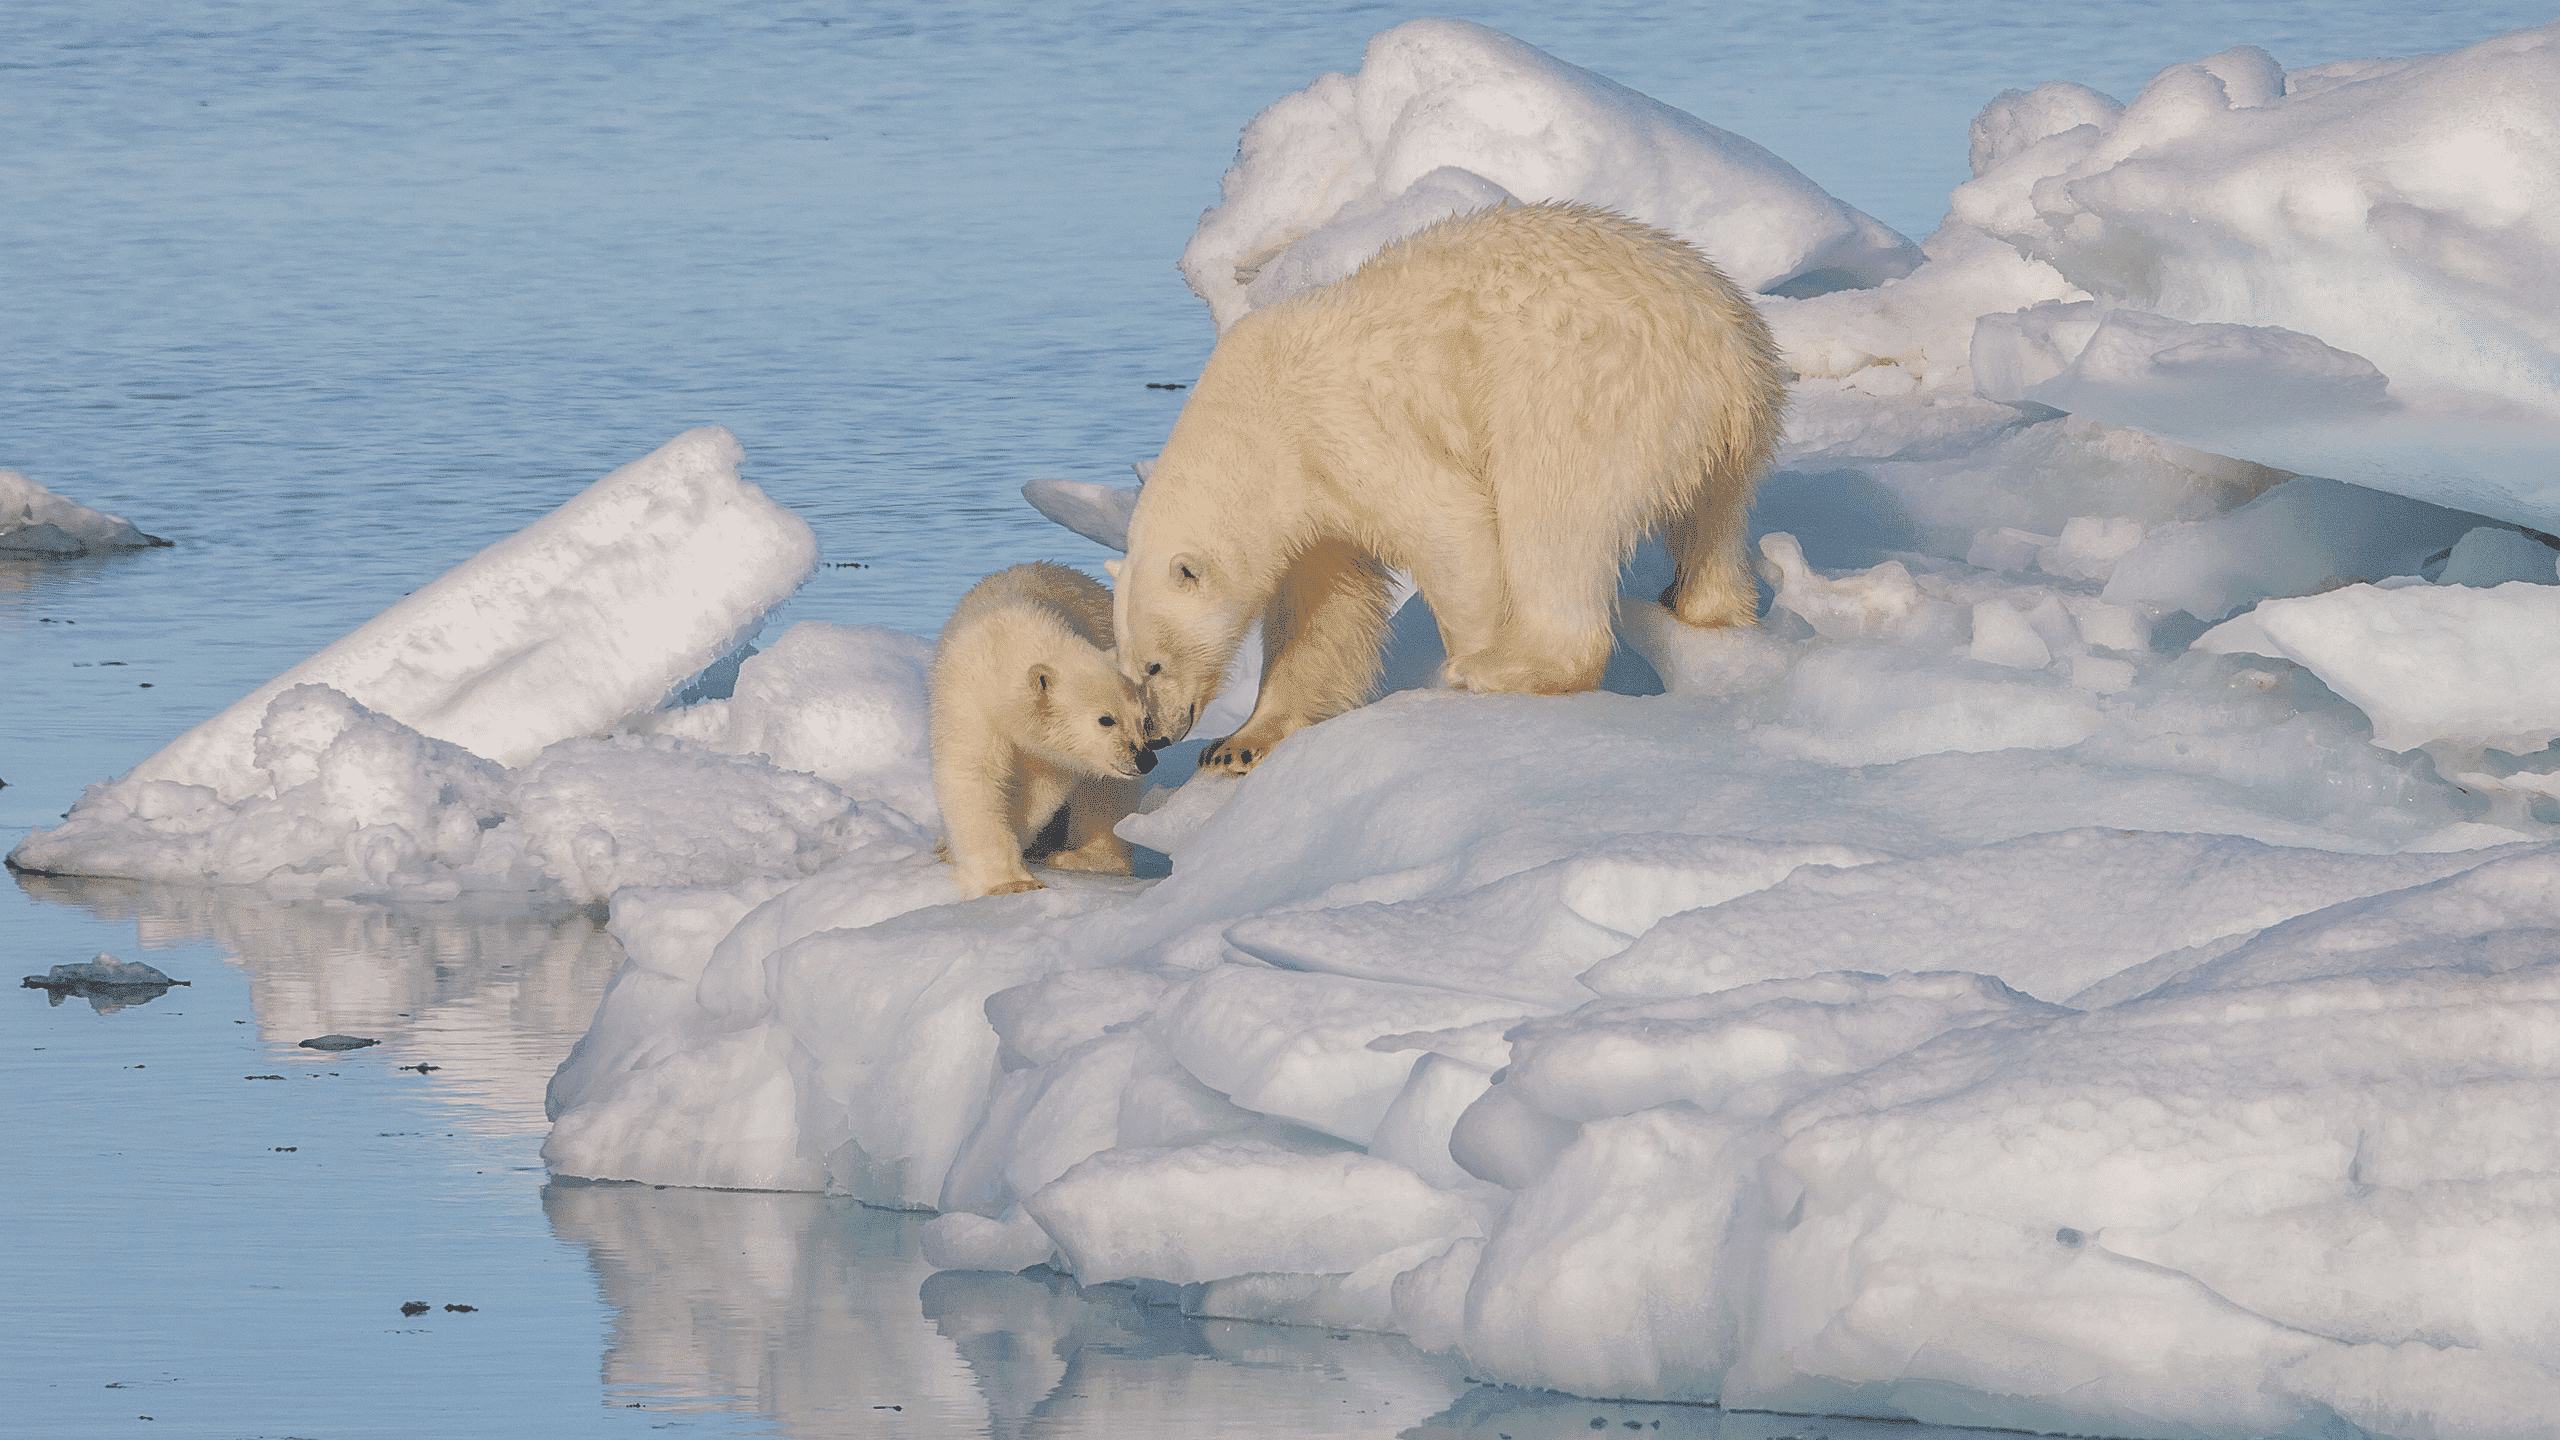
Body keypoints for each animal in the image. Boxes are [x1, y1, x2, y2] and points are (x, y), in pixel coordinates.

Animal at [931, 562, 1156, 897]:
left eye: (1142, 718)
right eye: (1106, 719)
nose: (1144, 759)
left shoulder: (1054, 753)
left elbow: (1040, 790)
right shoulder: (968, 699)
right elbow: (974, 774)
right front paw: (1011, 881)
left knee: (1106, 795)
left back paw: (1084, 859)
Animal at [1110, 200, 1787, 774]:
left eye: (1154, 664)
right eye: (1125, 666)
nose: (1159, 736)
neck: (1254, 424)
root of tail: (1733, 355)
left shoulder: (1343, 431)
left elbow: (1450, 526)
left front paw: (1468, 661)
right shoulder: (1314, 505)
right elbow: (1322, 613)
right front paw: (1238, 744)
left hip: (1586, 390)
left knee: (1552, 516)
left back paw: (1507, 669)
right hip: (1725, 439)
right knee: (1713, 523)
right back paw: (1702, 606)